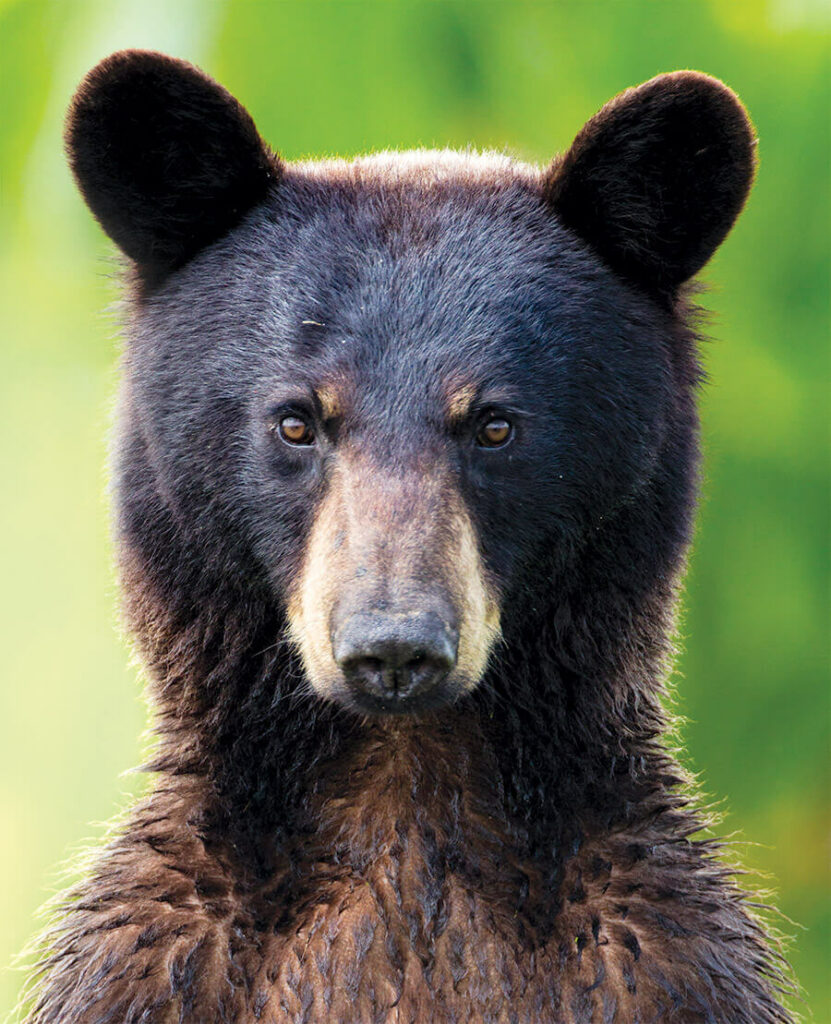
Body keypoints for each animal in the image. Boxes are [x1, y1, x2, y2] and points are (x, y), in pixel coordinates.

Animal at [22, 49, 793, 1024]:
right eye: (295, 421)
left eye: (494, 425)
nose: (393, 647)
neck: (402, 794)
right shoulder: (146, 968)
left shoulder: (665, 966)